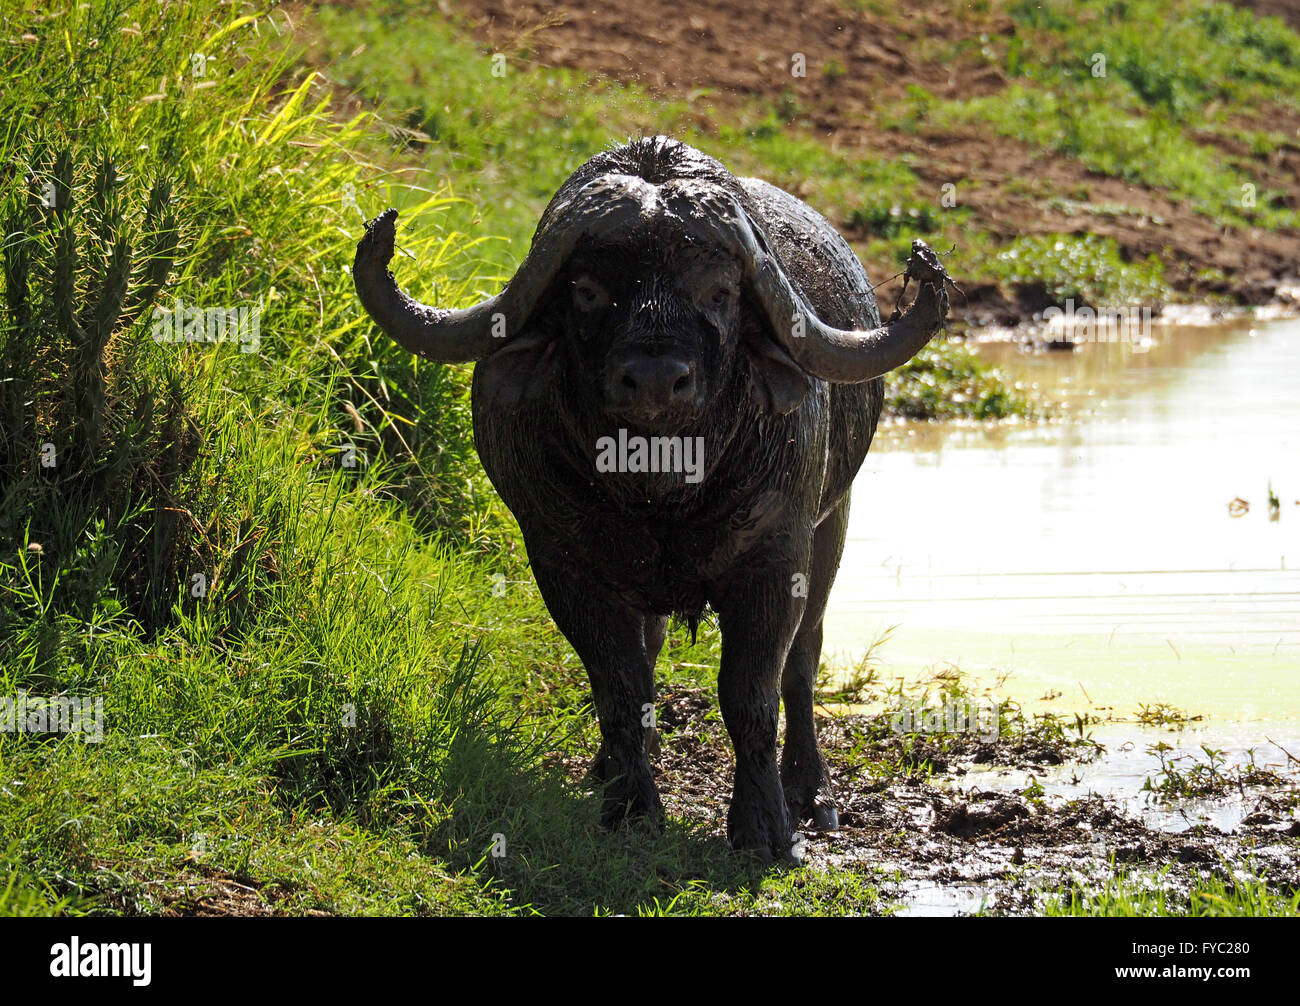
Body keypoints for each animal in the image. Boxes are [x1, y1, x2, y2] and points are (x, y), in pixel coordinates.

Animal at [354, 137, 950, 862]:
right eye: (587, 290)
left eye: (719, 290)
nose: (658, 380)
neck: (659, 487)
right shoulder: (564, 565)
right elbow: (620, 687)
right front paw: (632, 807)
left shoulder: (777, 560)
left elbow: (752, 692)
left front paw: (764, 828)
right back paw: (612, 766)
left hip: (831, 526)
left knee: (803, 660)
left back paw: (811, 791)